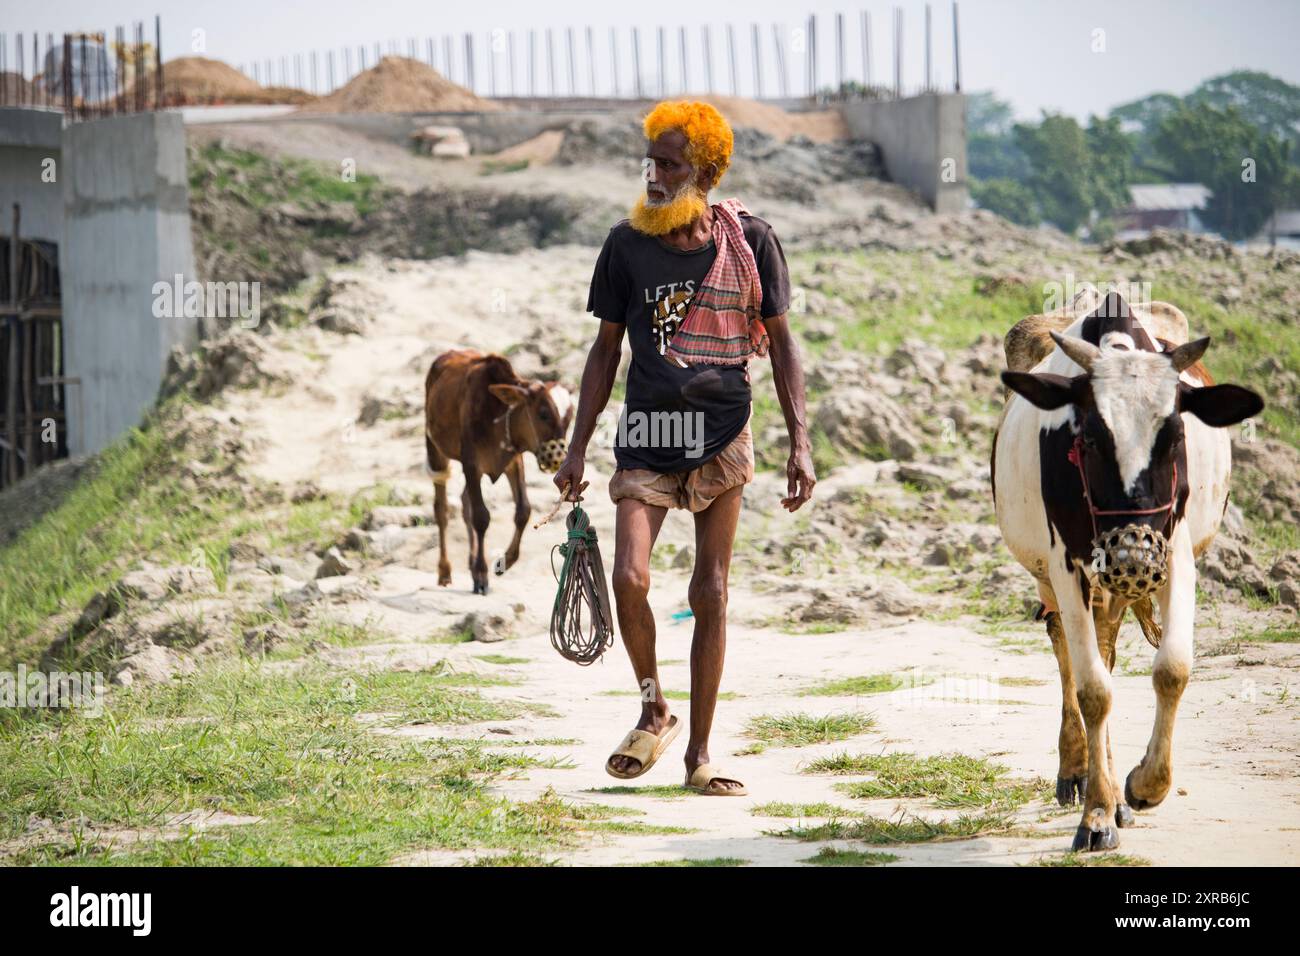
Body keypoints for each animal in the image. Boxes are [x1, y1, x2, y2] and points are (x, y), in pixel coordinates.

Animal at [424, 349, 574, 594]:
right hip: (435, 449)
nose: (559, 458)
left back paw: (470, 563)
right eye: (543, 414)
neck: (498, 412)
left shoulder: (514, 462)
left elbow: (523, 511)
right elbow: (481, 517)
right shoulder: (471, 464)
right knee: (442, 509)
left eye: (569, 417)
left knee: (464, 501)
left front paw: (506, 561)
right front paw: (481, 575)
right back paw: (445, 571)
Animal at [992, 290, 1263, 851]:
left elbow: (1172, 668)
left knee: (1107, 646)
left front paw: (1144, 786)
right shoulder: (1065, 564)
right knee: (1070, 653)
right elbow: (1092, 690)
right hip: (1052, 578)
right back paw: (1079, 772)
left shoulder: (1175, 555)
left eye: (1176, 435)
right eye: (1090, 438)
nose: (1131, 555)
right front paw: (1097, 812)